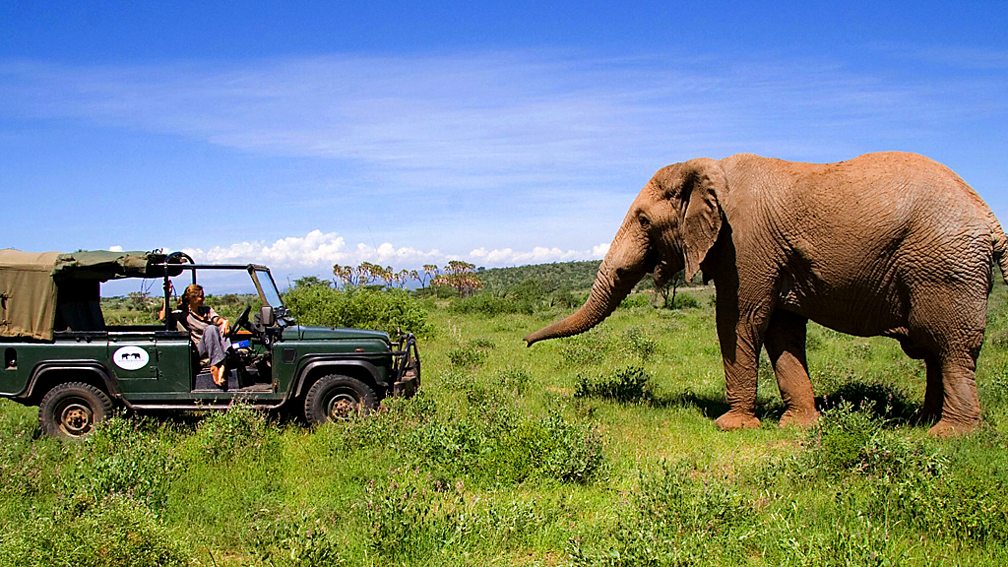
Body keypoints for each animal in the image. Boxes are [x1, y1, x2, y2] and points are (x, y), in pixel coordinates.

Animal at [525, 152, 1008, 436]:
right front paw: (799, 426)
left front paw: (731, 426)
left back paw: (949, 435)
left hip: (945, 267)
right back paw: (925, 423)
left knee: (950, 346)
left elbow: (737, 320)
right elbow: (782, 330)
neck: (710, 168)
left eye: (643, 220)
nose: (526, 344)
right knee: (935, 349)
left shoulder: (746, 244)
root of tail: (990, 218)